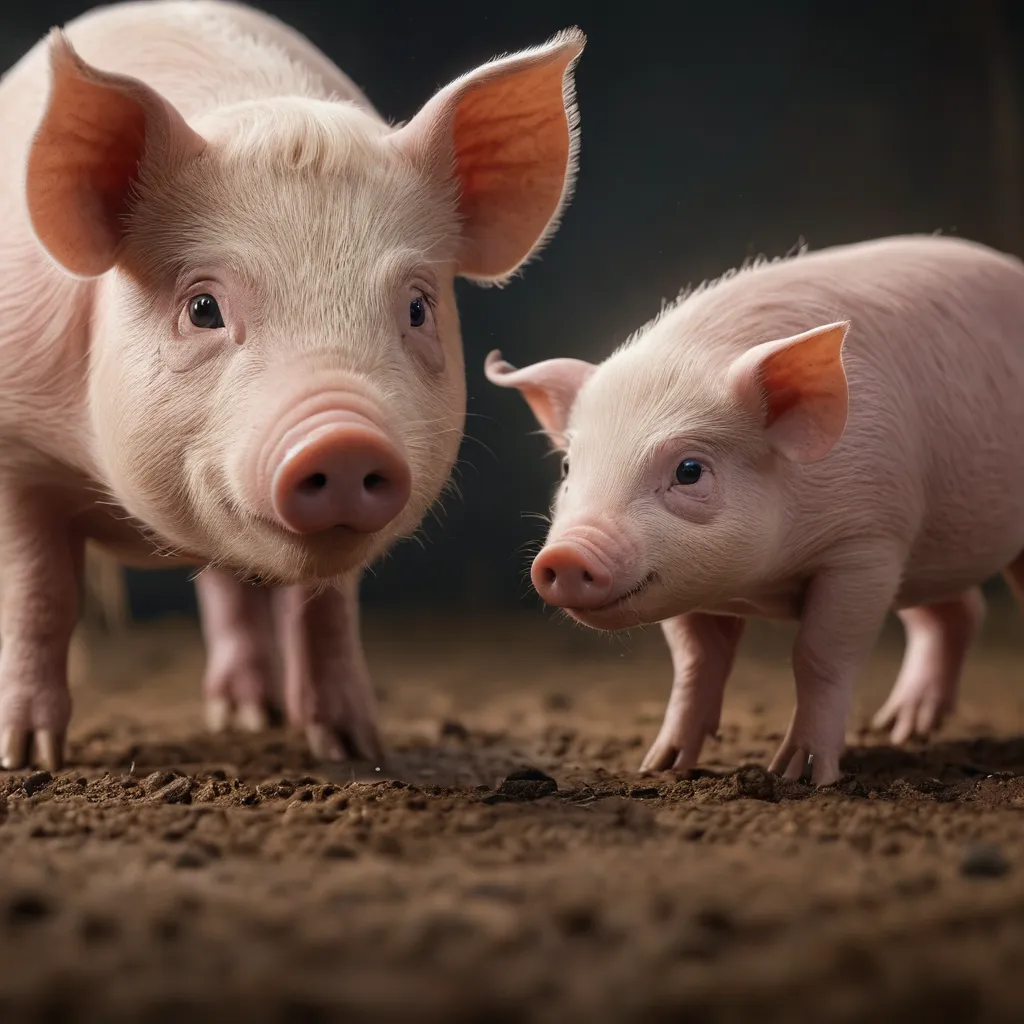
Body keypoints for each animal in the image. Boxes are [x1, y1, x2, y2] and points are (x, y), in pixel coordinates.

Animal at [0, 0, 585, 770]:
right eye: (203, 307)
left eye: (417, 307)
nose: (343, 439)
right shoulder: (17, 450)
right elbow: (39, 596)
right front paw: (28, 757)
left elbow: (325, 612)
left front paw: (354, 750)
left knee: (228, 589)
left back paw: (252, 716)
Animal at [485, 234, 1024, 787]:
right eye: (568, 465)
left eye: (690, 470)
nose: (566, 555)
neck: (758, 585)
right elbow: (695, 661)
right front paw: (661, 766)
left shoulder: (866, 544)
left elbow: (818, 655)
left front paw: (799, 776)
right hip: (929, 553)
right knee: (957, 611)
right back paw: (901, 729)